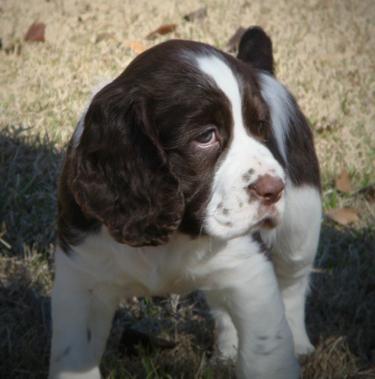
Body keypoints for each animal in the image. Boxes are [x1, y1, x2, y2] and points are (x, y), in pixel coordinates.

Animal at [48, 26, 322, 379]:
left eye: (261, 127)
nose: (274, 188)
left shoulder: (252, 271)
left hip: (301, 223)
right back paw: (227, 351)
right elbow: (73, 355)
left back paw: (299, 342)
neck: (178, 229)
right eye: (205, 136)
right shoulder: (81, 277)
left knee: (292, 282)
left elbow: (265, 351)